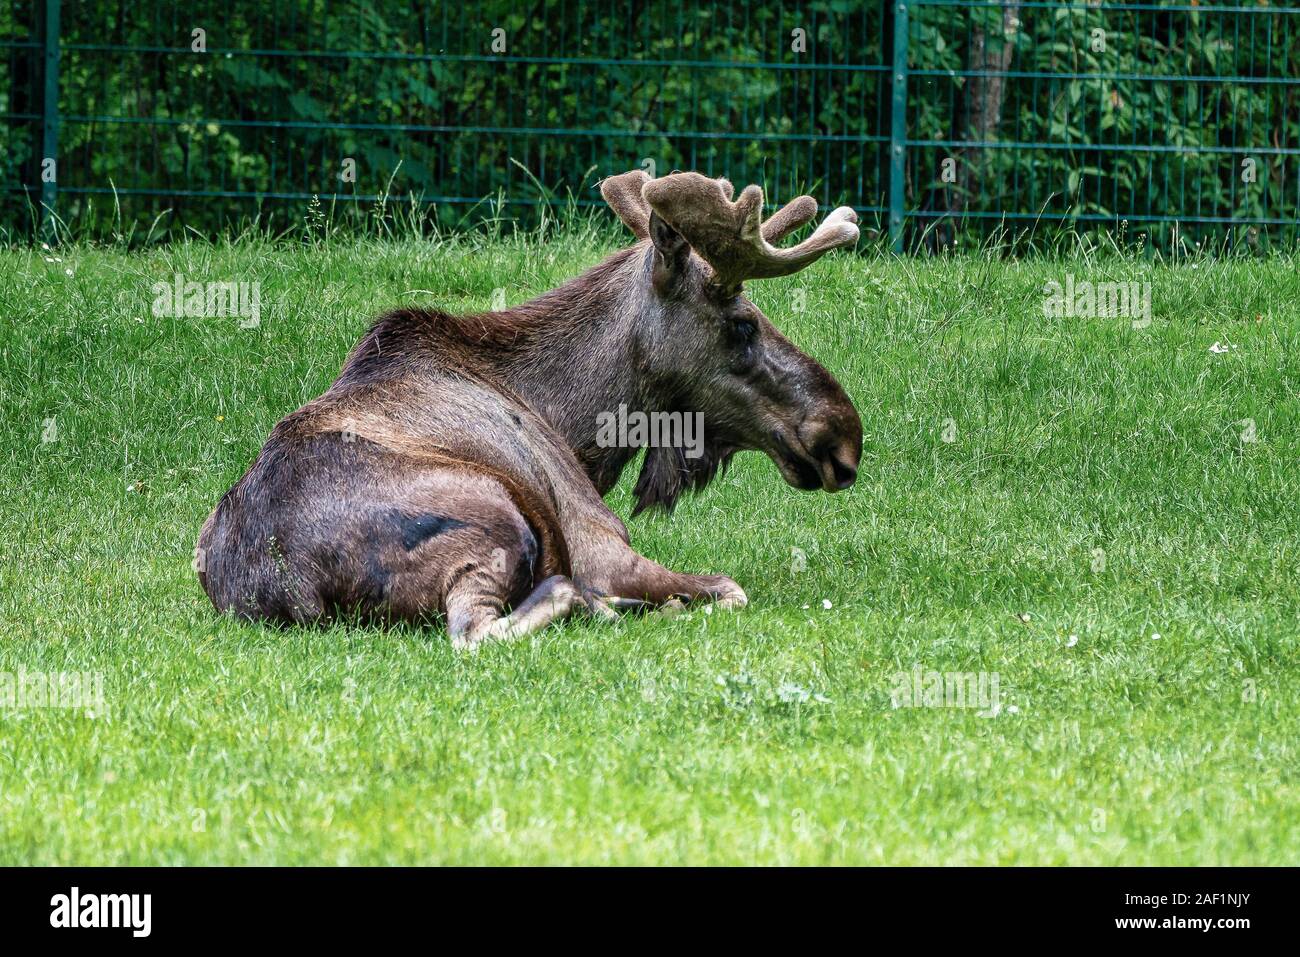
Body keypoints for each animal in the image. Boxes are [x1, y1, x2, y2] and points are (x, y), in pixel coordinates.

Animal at [196, 170, 863, 649]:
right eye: (742, 324)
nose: (843, 435)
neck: (582, 430)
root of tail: (289, 587)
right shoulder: (601, 540)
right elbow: (729, 588)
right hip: (496, 520)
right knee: (479, 630)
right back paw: (596, 604)